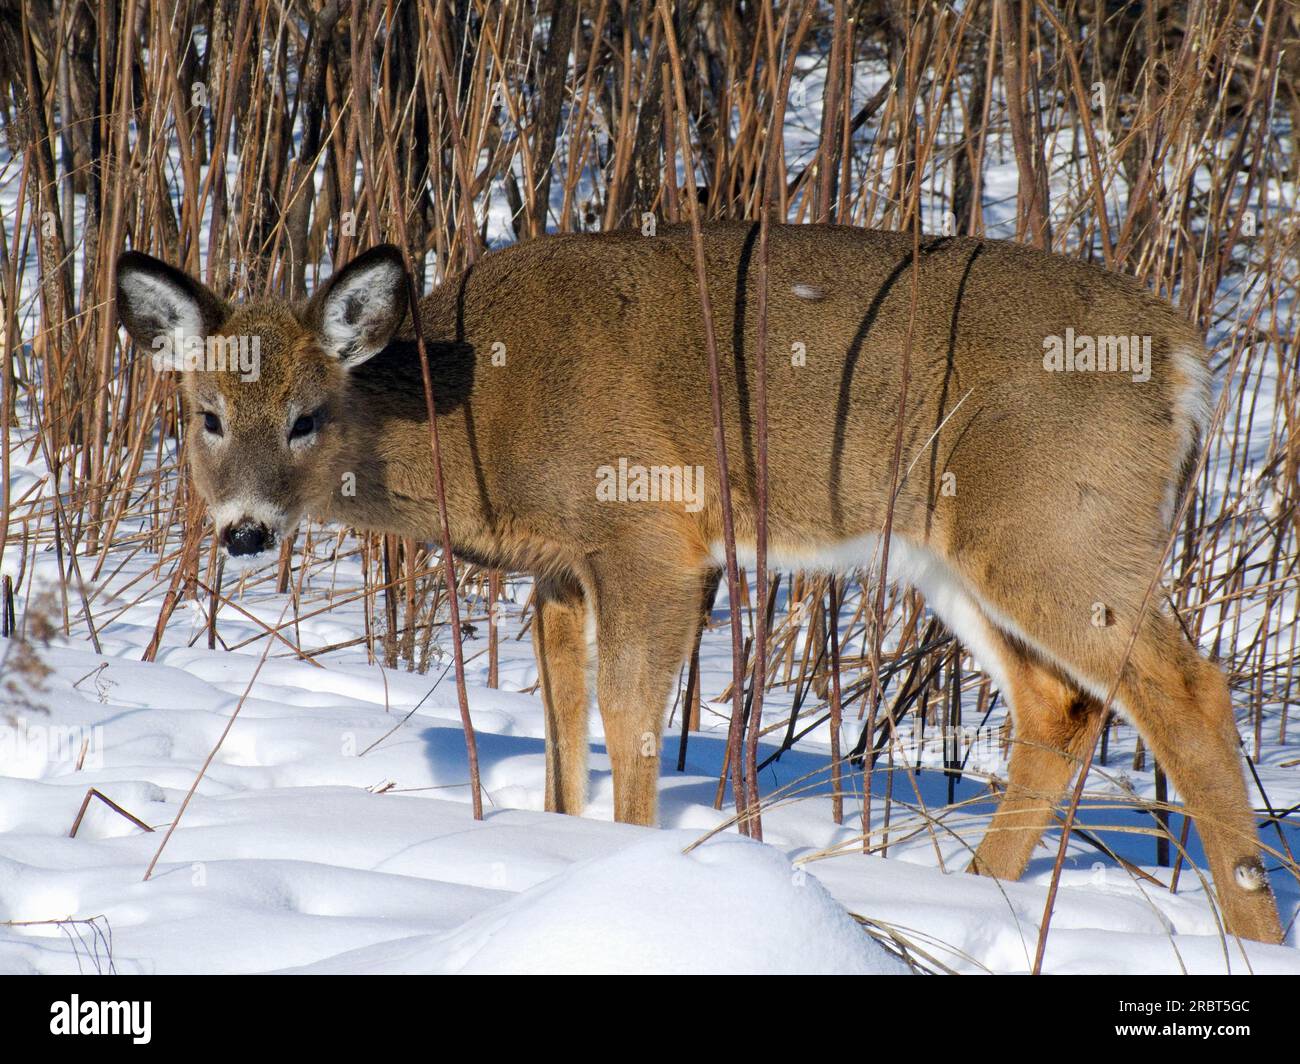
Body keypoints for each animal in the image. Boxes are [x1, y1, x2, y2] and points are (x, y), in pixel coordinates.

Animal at [115, 222, 1285, 944]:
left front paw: (641, 885)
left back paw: (1253, 931)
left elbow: (630, 720)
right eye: (205, 414)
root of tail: (1189, 358)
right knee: (1061, 704)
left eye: (306, 414)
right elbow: (565, 733)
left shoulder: (651, 534)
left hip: (1056, 518)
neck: (472, 412)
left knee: (1185, 689)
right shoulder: (559, 571)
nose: (246, 531)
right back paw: (968, 896)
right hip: (955, 547)